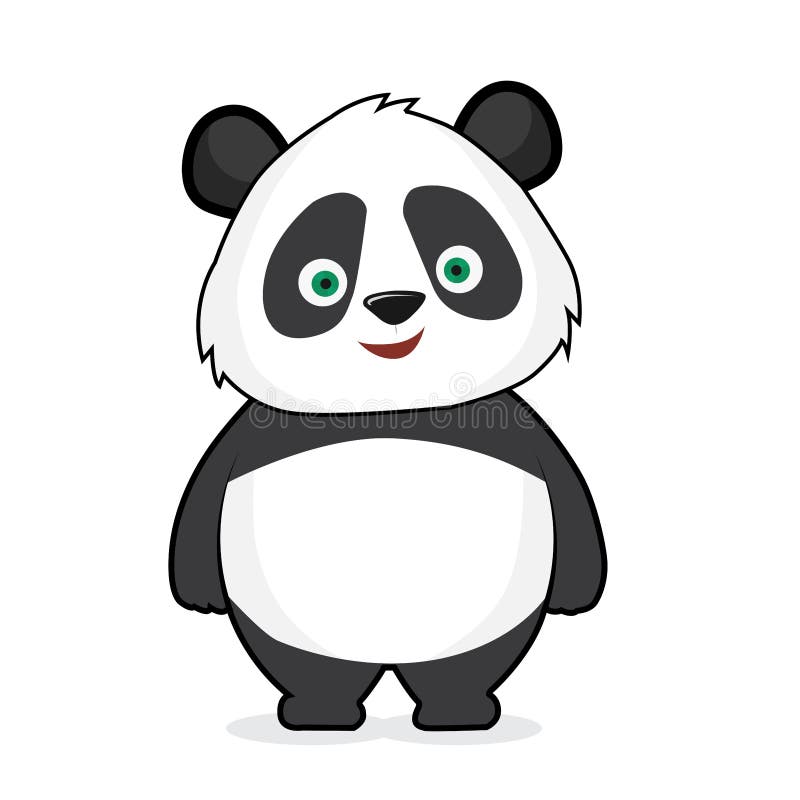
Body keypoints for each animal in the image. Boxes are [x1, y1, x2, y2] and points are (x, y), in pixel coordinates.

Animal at [170, 82, 606, 731]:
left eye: (459, 267)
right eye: (321, 280)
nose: (394, 303)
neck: (387, 405)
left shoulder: (515, 426)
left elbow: (569, 499)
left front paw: (579, 595)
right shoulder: (250, 436)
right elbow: (203, 503)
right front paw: (196, 595)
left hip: (489, 620)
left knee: (467, 666)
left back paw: (457, 714)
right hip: (287, 625)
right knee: (309, 668)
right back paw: (319, 715)